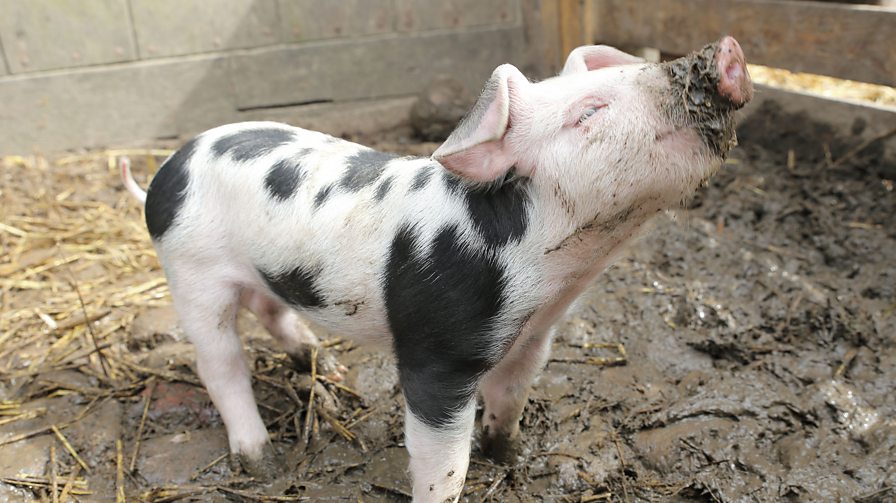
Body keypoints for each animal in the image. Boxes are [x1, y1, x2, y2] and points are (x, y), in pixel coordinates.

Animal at [121, 37, 752, 502]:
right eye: (588, 112)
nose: (727, 53)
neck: (552, 281)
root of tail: (167, 169)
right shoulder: (436, 357)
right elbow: (443, 462)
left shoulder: (535, 336)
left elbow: (511, 398)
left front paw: (510, 455)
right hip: (192, 273)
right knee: (219, 364)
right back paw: (261, 461)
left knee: (270, 308)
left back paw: (317, 360)